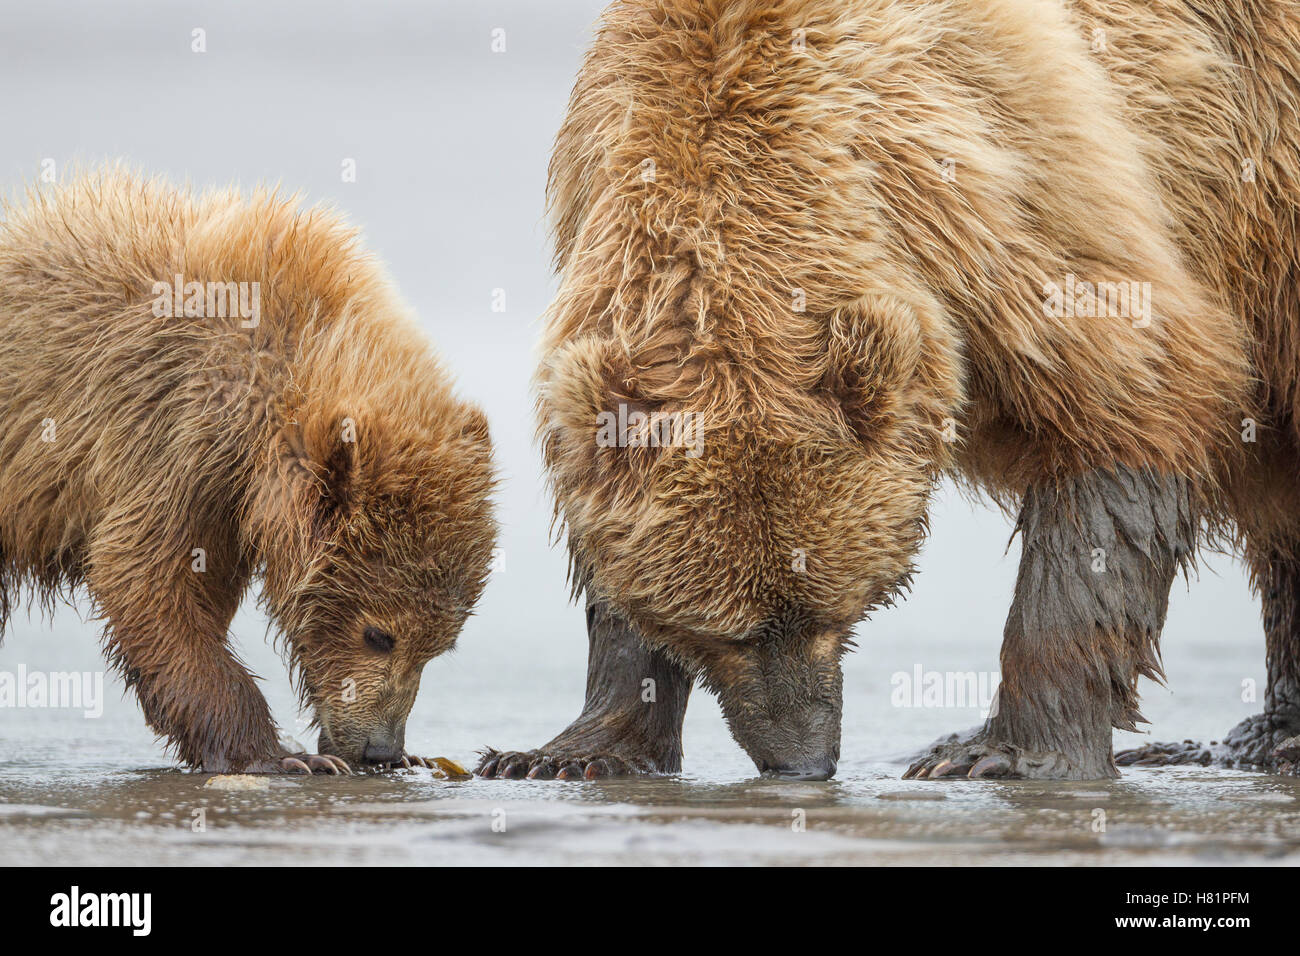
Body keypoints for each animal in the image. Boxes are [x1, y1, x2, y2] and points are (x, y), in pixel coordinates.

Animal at [0, 167, 497, 773]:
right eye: (379, 634)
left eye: (438, 645)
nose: (383, 749)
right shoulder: (177, 432)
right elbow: (144, 575)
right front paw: (281, 755)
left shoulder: (225, 499)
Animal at [478, 0, 1299, 781]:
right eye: (724, 631)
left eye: (830, 613)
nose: (804, 761)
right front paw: (569, 750)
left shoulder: (1001, 188)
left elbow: (1127, 409)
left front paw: (998, 751)